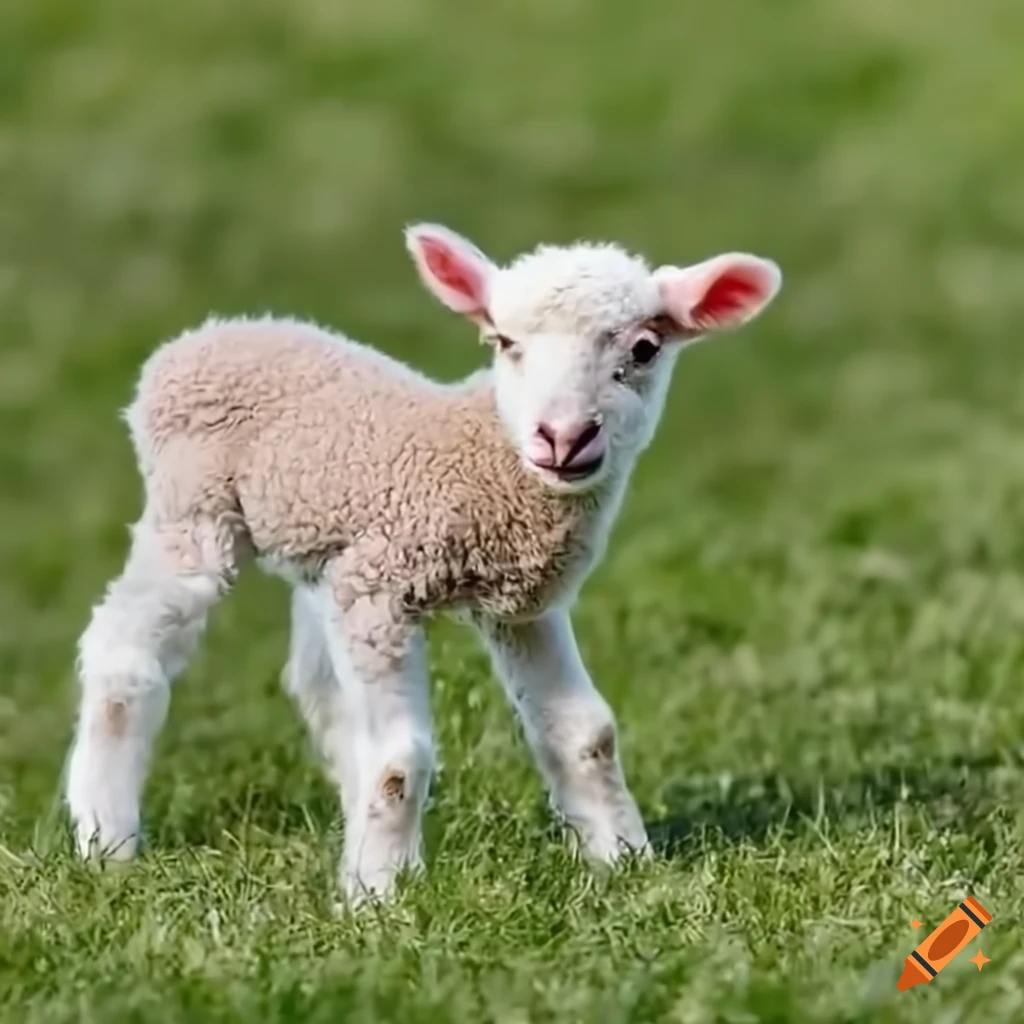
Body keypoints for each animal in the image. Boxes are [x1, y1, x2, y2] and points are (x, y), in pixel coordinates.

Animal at [65, 222, 782, 904]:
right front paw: (378, 898)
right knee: (124, 653)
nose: (563, 437)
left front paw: (624, 862)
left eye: (644, 349)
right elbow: (397, 760)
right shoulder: (380, 588)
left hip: (321, 556)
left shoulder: (522, 605)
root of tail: (200, 335)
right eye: (503, 342)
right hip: (193, 511)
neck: (480, 456)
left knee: (317, 687)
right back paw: (106, 839)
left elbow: (584, 733)